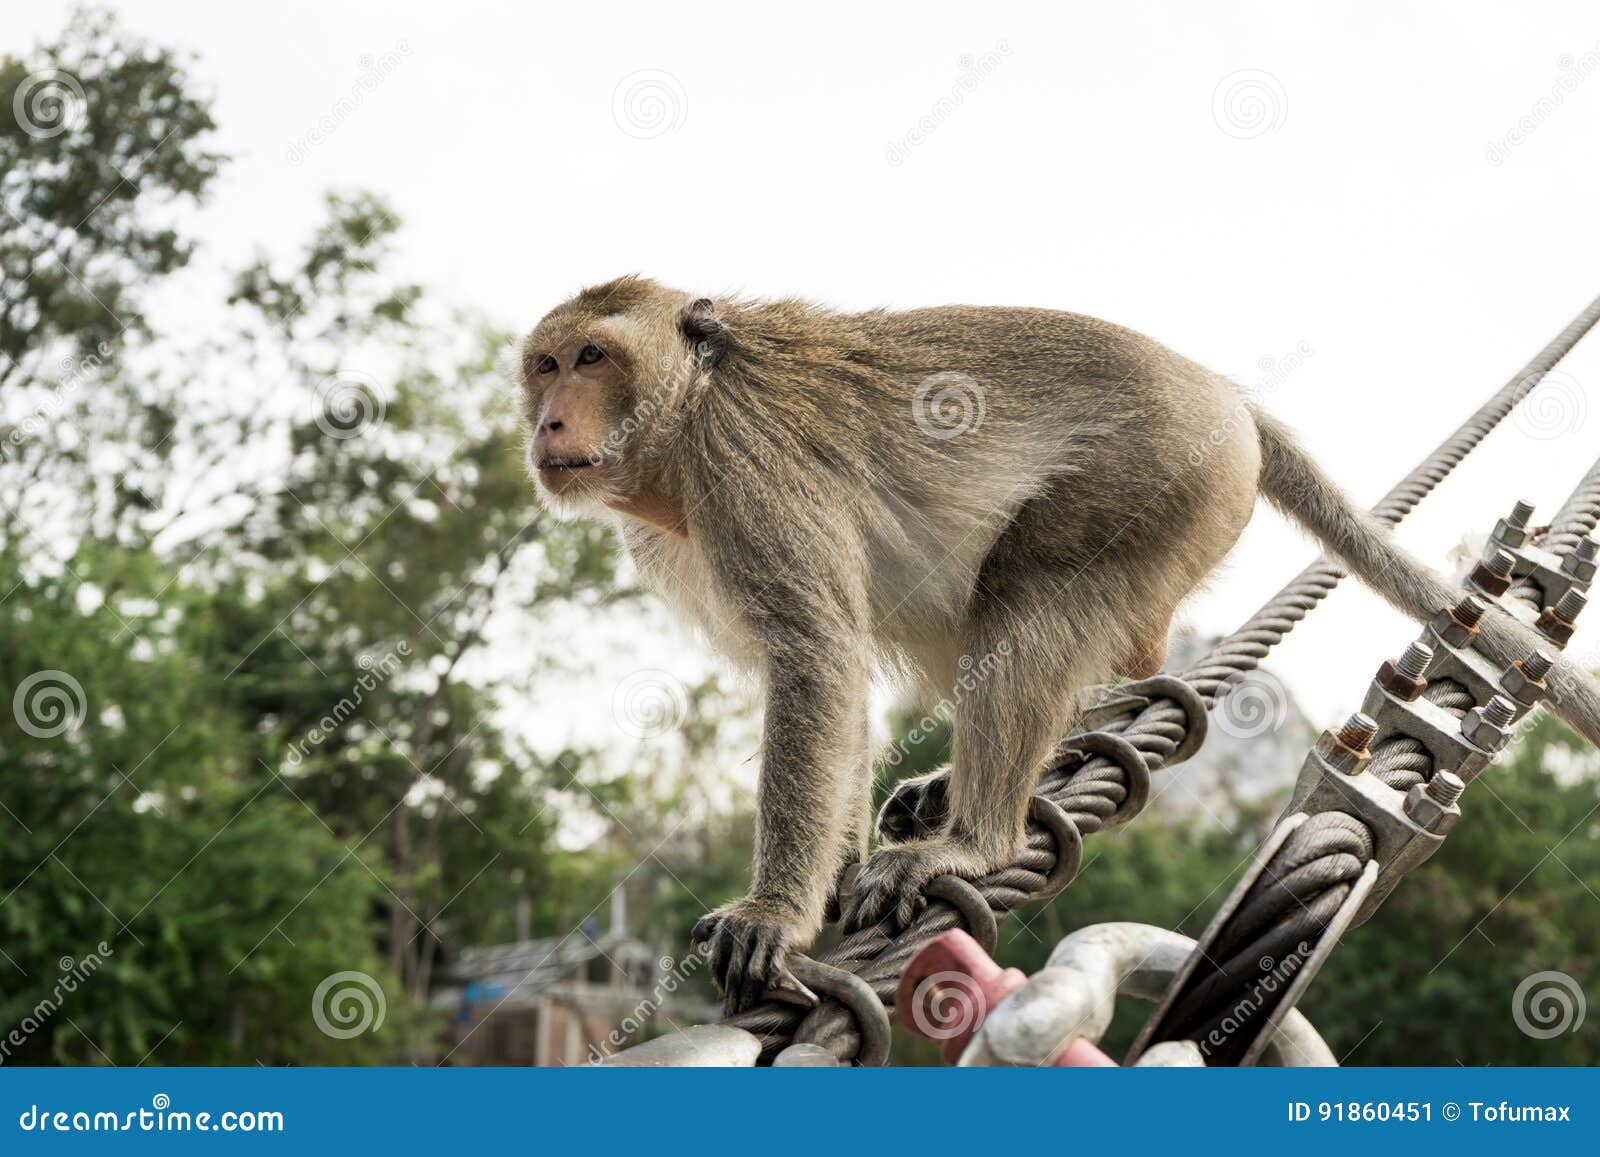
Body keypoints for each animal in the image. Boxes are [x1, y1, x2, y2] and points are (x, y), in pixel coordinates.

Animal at [520, 275, 1600, 1014]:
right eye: (545, 364)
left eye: (593, 358)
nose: (548, 421)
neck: (685, 420)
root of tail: (1226, 396)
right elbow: (837, 676)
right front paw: (821, 888)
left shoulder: (740, 467)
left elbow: (815, 656)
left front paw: (773, 911)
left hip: (1162, 473)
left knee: (1023, 596)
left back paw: (975, 835)